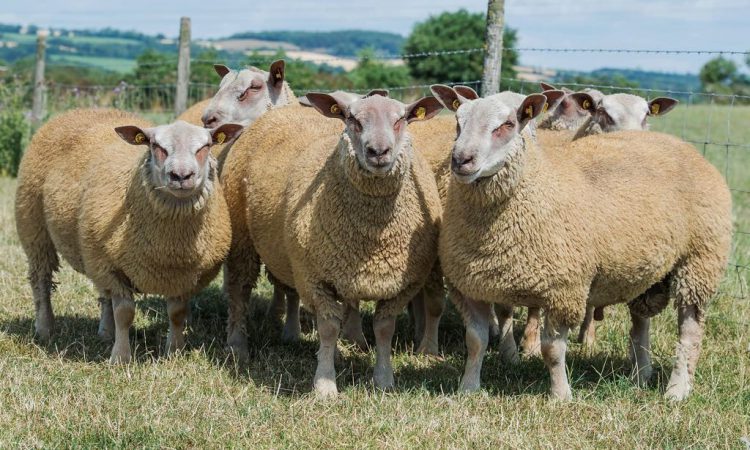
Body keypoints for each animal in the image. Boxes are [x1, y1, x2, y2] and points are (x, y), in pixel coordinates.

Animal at [15, 108, 242, 363]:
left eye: (206, 146)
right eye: (155, 145)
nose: (181, 175)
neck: (170, 243)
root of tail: (77, 110)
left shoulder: (181, 275)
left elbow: (177, 313)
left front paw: (174, 351)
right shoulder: (113, 268)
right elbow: (124, 313)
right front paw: (121, 357)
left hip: (93, 249)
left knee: (103, 293)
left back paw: (105, 332)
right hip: (34, 228)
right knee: (41, 280)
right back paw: (45, 328)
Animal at [220, 93, 444, 396]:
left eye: (401, 119)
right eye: (352, 119)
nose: (378, 152)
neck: (374, 235)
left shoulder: (400, 284)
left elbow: (384, 329)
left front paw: (383, 380)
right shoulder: (315, 277)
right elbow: (327, 328)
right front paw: (325, 385)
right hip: (243, 239)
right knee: (239, 291)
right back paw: (237, 346)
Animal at [431, 88, 732, 400]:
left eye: (508, 124)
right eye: (457, 122)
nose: (461, 159)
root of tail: (684, 146)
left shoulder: (563, 289)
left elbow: (552, 350)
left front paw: (561, 395)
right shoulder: (468, 287)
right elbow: (475, 341)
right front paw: (467, 388)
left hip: (700, 261)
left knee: (690, 330)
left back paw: (677, 389)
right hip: (646, 268)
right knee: (640, 324)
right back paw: (640, 376)